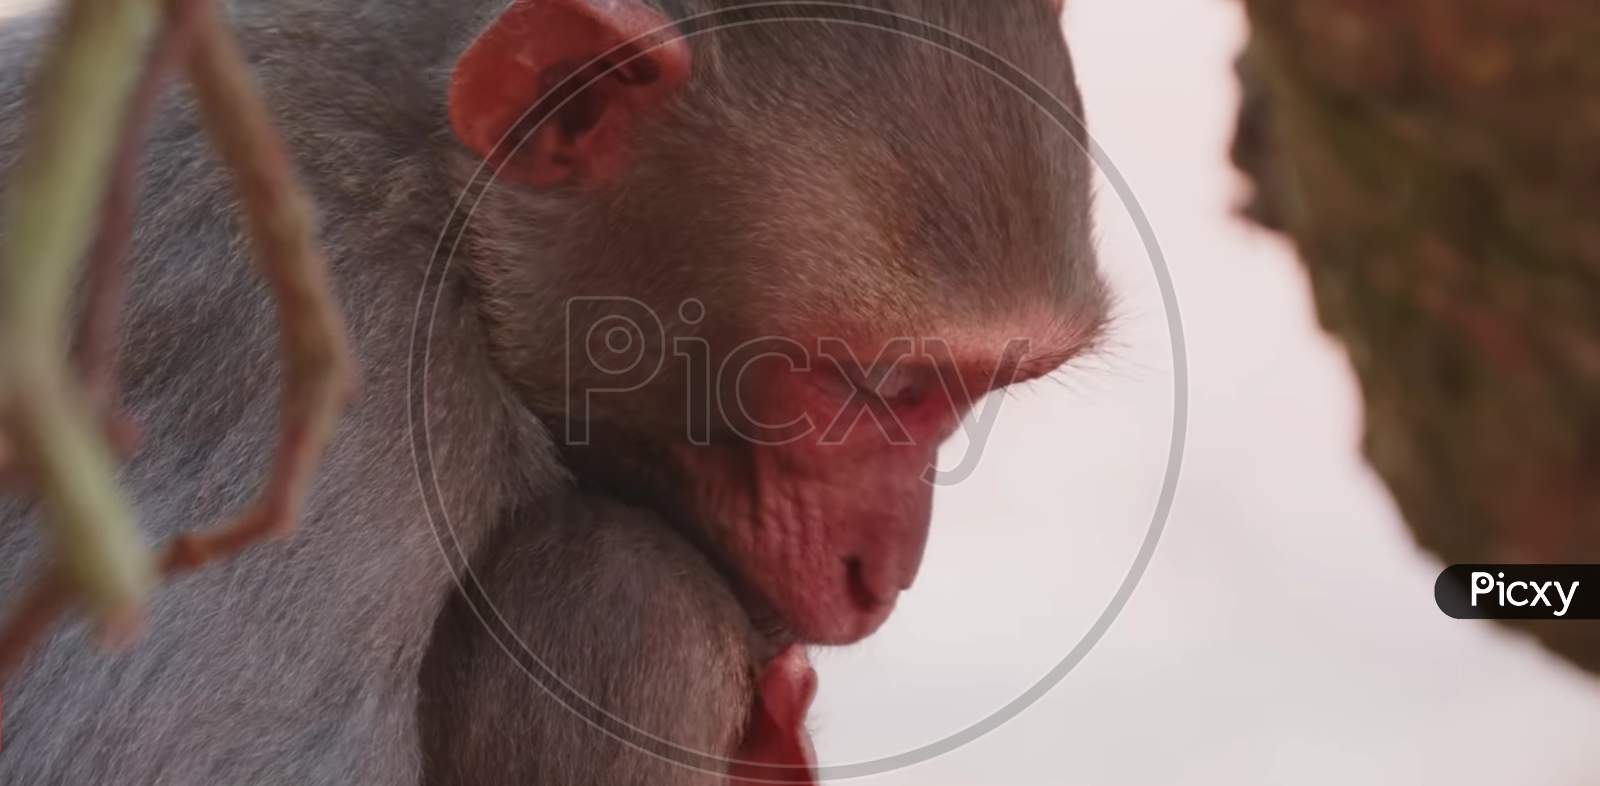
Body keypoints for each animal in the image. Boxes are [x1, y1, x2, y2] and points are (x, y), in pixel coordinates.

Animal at [0, 0, 1103, 783]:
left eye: (968, 390)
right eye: (881, 387)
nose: (885, 571)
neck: (433, 181)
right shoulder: (319, 369)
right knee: (633, 586)